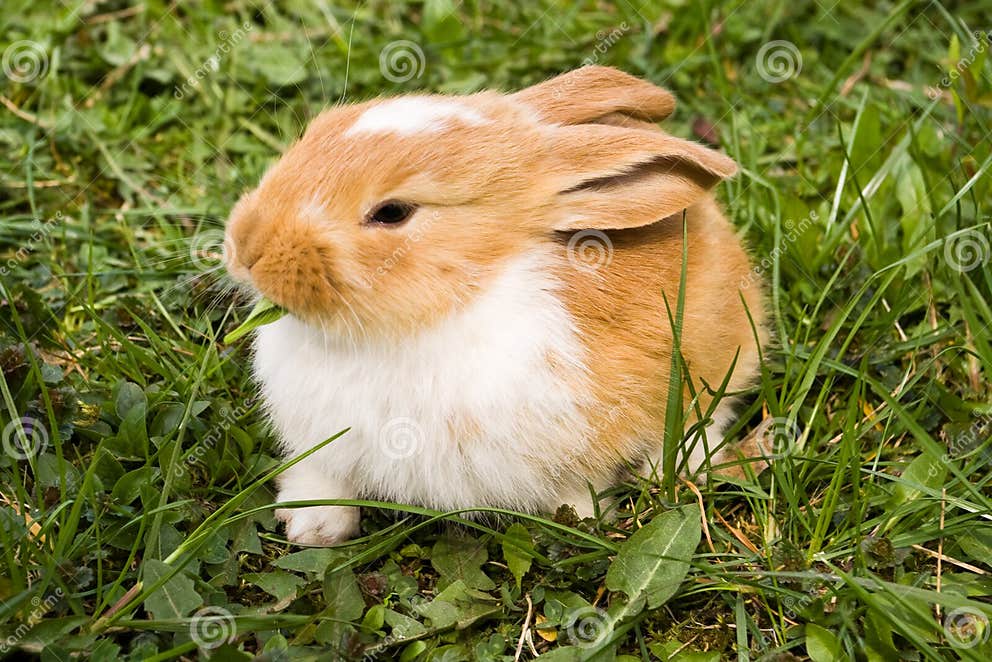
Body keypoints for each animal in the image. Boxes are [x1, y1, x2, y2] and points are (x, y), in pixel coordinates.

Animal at [223, 66, 770, 545]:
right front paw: (312, 529)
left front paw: (580, 518)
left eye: (392, 212)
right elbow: (324, 479)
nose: (246, 247)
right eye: (317, 131)